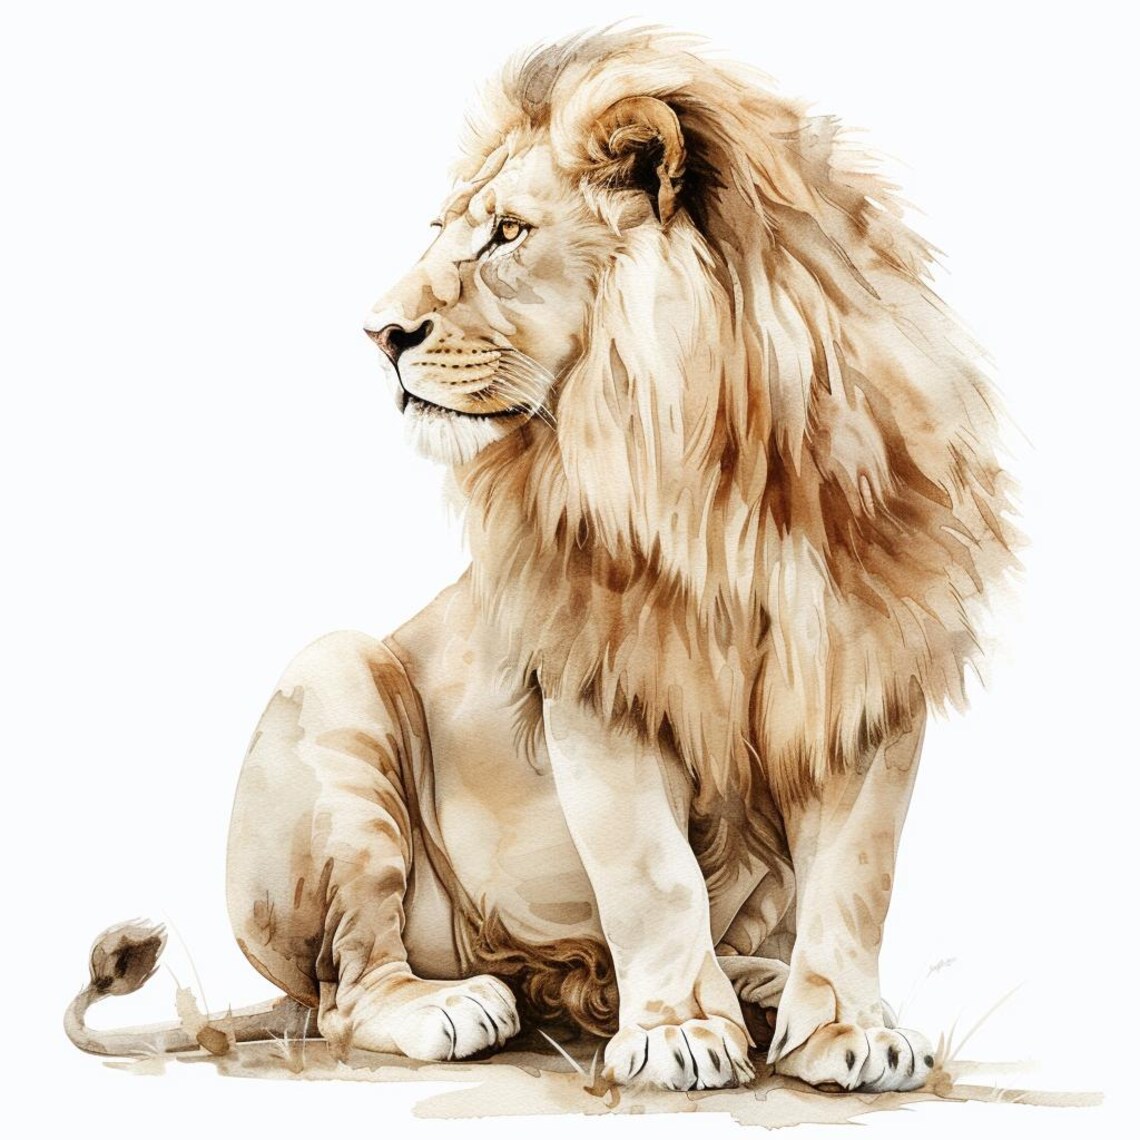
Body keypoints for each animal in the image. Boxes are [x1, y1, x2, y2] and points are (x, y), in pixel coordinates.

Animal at [66, 29, 1017, 1094]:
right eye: (449, 231)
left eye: (508, 235)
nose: (379, 333)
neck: (729, 477)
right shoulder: (600, 676)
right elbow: (651, 873)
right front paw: (683, 1034)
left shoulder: (865, 679)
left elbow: (857, 876)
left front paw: (845, 1031)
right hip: (336, 678)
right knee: (349, 988)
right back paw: (458, 1005)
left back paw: (757, 989)